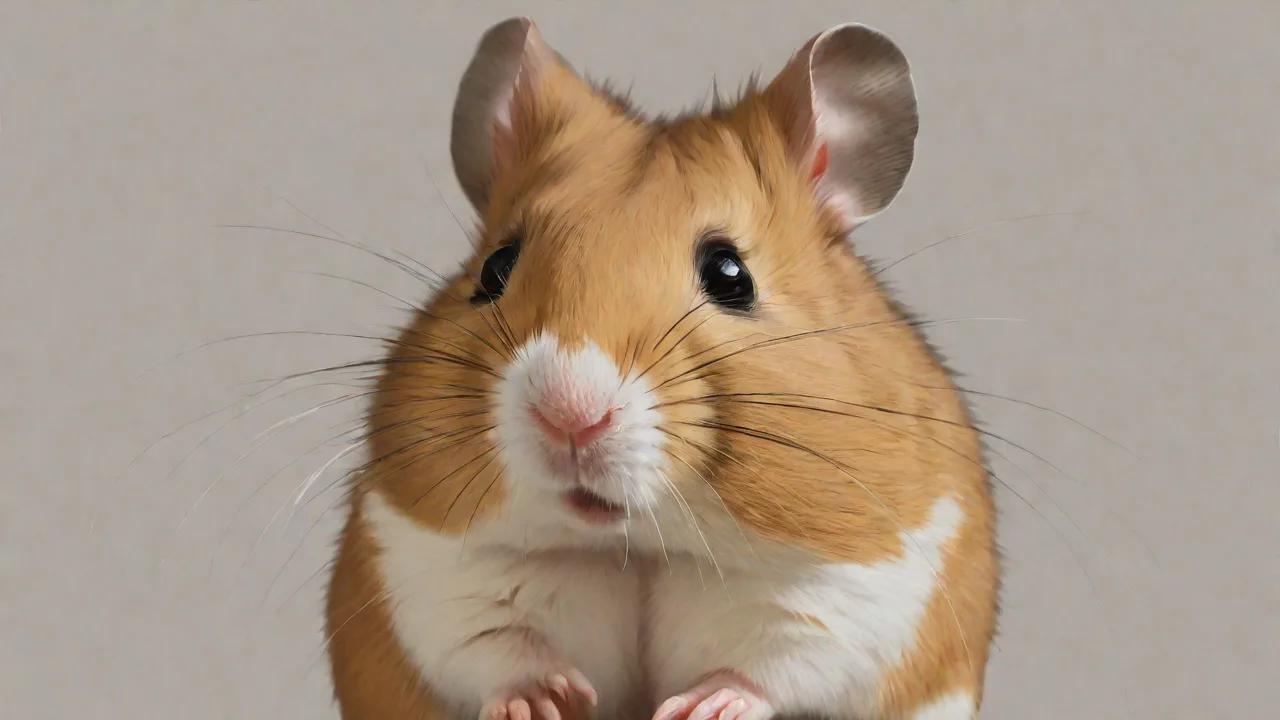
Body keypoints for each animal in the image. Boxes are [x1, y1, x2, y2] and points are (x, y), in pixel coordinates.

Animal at [325, 16, 999, 720]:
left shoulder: (860, 587)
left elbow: (774, 661)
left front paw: (699, 707)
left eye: (731, 275)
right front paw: (547, 698)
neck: (640, 542)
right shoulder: (428, 562)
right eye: (495, 268)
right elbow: (496, 643)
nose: (568, 414)